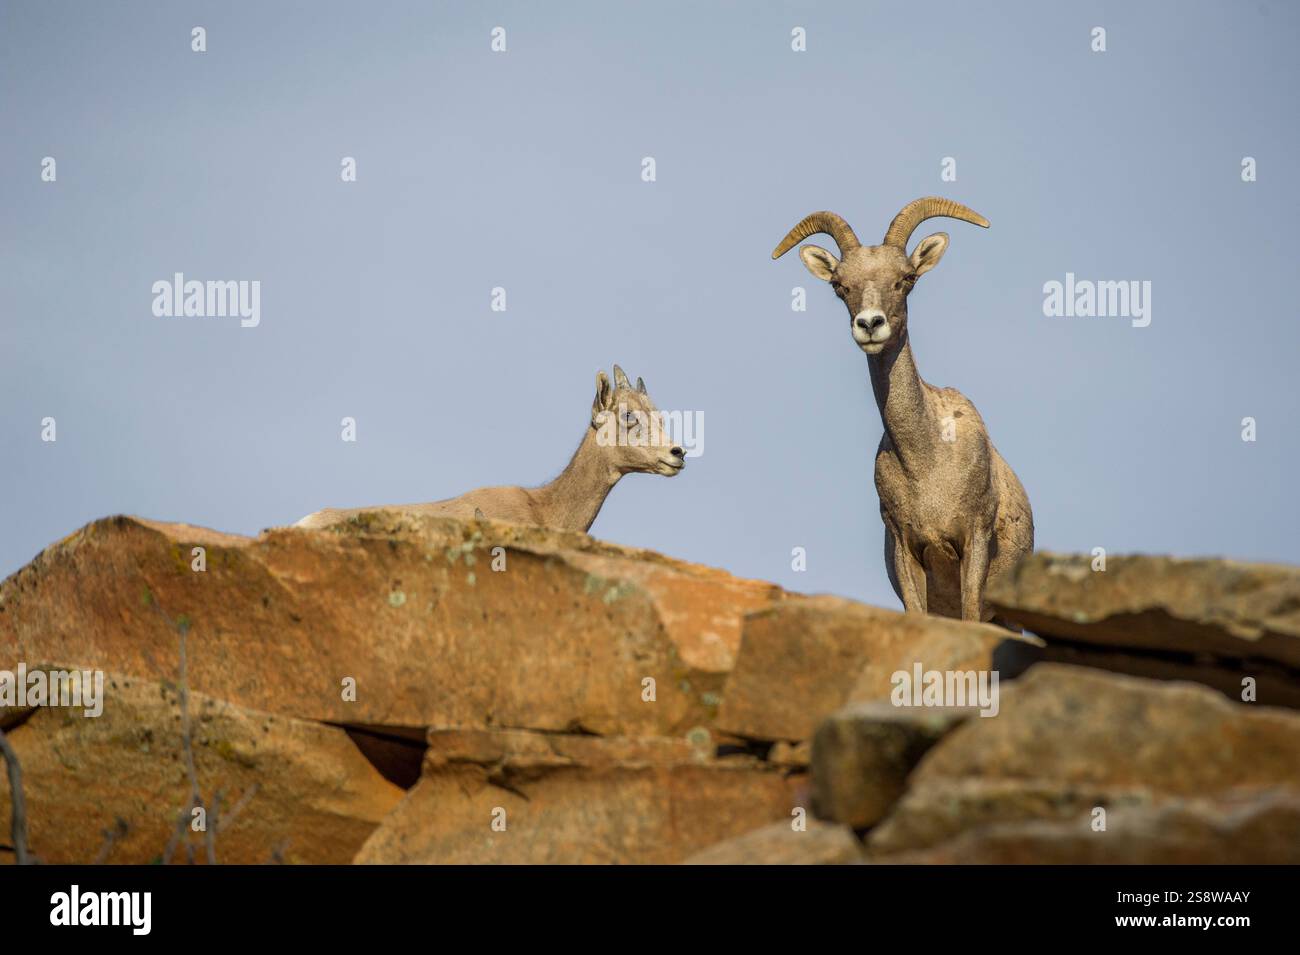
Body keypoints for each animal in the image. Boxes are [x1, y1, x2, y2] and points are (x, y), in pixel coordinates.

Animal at [773, 197, 1033, 627]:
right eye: (840, 285)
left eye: (906, 278)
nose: (869, 325)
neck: (927, 464)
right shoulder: (906, 549)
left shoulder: (974, 541)